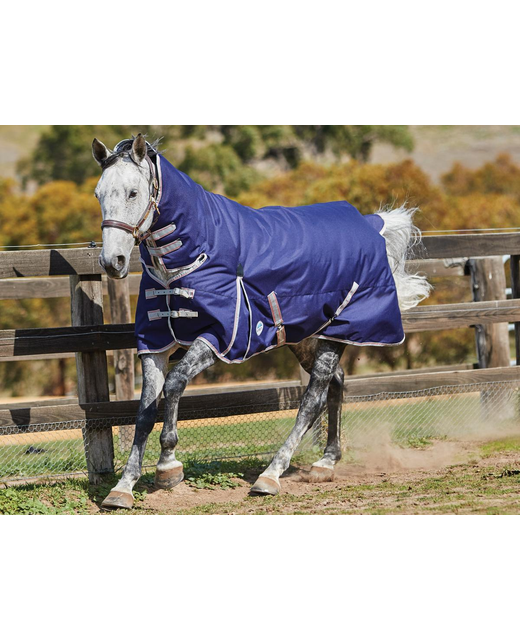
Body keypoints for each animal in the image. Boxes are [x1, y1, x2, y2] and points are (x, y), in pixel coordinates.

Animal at [92, 134, 431, 510]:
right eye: (99, 193)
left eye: (133, 192)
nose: (112, 262)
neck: (191, 256)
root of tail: (372, 225)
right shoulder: (155, 343)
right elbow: (144, 412)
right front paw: (123, 487)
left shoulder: (220, 338)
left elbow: (175, 384)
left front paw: (168, 466)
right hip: (306, 337)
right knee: (337, 384)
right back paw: (325, 463)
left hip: (338, 332)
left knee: (311, 401)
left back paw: (271, 475)